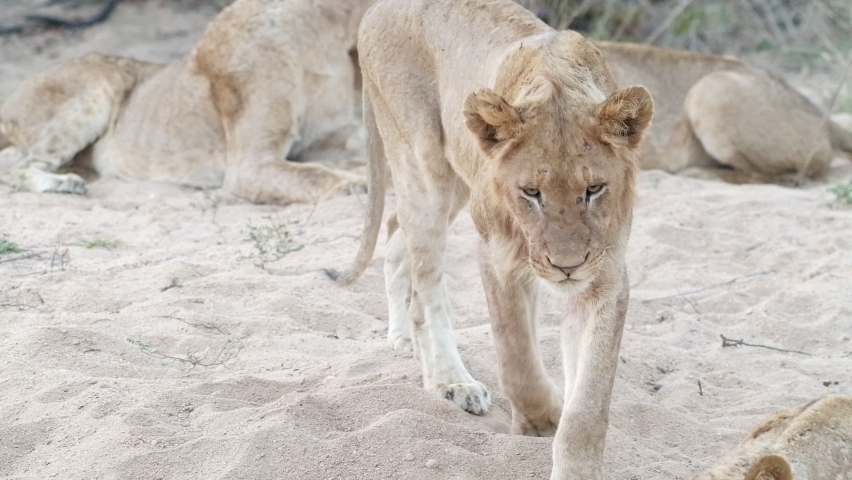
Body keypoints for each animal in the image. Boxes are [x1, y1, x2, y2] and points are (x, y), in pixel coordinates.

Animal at [0, 0, 375, 204]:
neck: (329, 33)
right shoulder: (249, 166)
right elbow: (317, 175)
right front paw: (357, 184)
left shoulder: (324, 140)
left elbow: (352, 154)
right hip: (100, 85)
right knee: (16, 168)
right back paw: (64, 184)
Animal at [329, 0, 653, 478]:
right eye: (531, 193)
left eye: (593, 189)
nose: (567, 265)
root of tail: (376, 8)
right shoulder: (497, 256)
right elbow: (517, 356)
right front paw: (541, 419)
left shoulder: (604, 276)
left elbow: (588, 403)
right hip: (423, 165)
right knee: (425, 287)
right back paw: (450, 381)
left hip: (456, 183)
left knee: (393, 231)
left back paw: (402, 337)